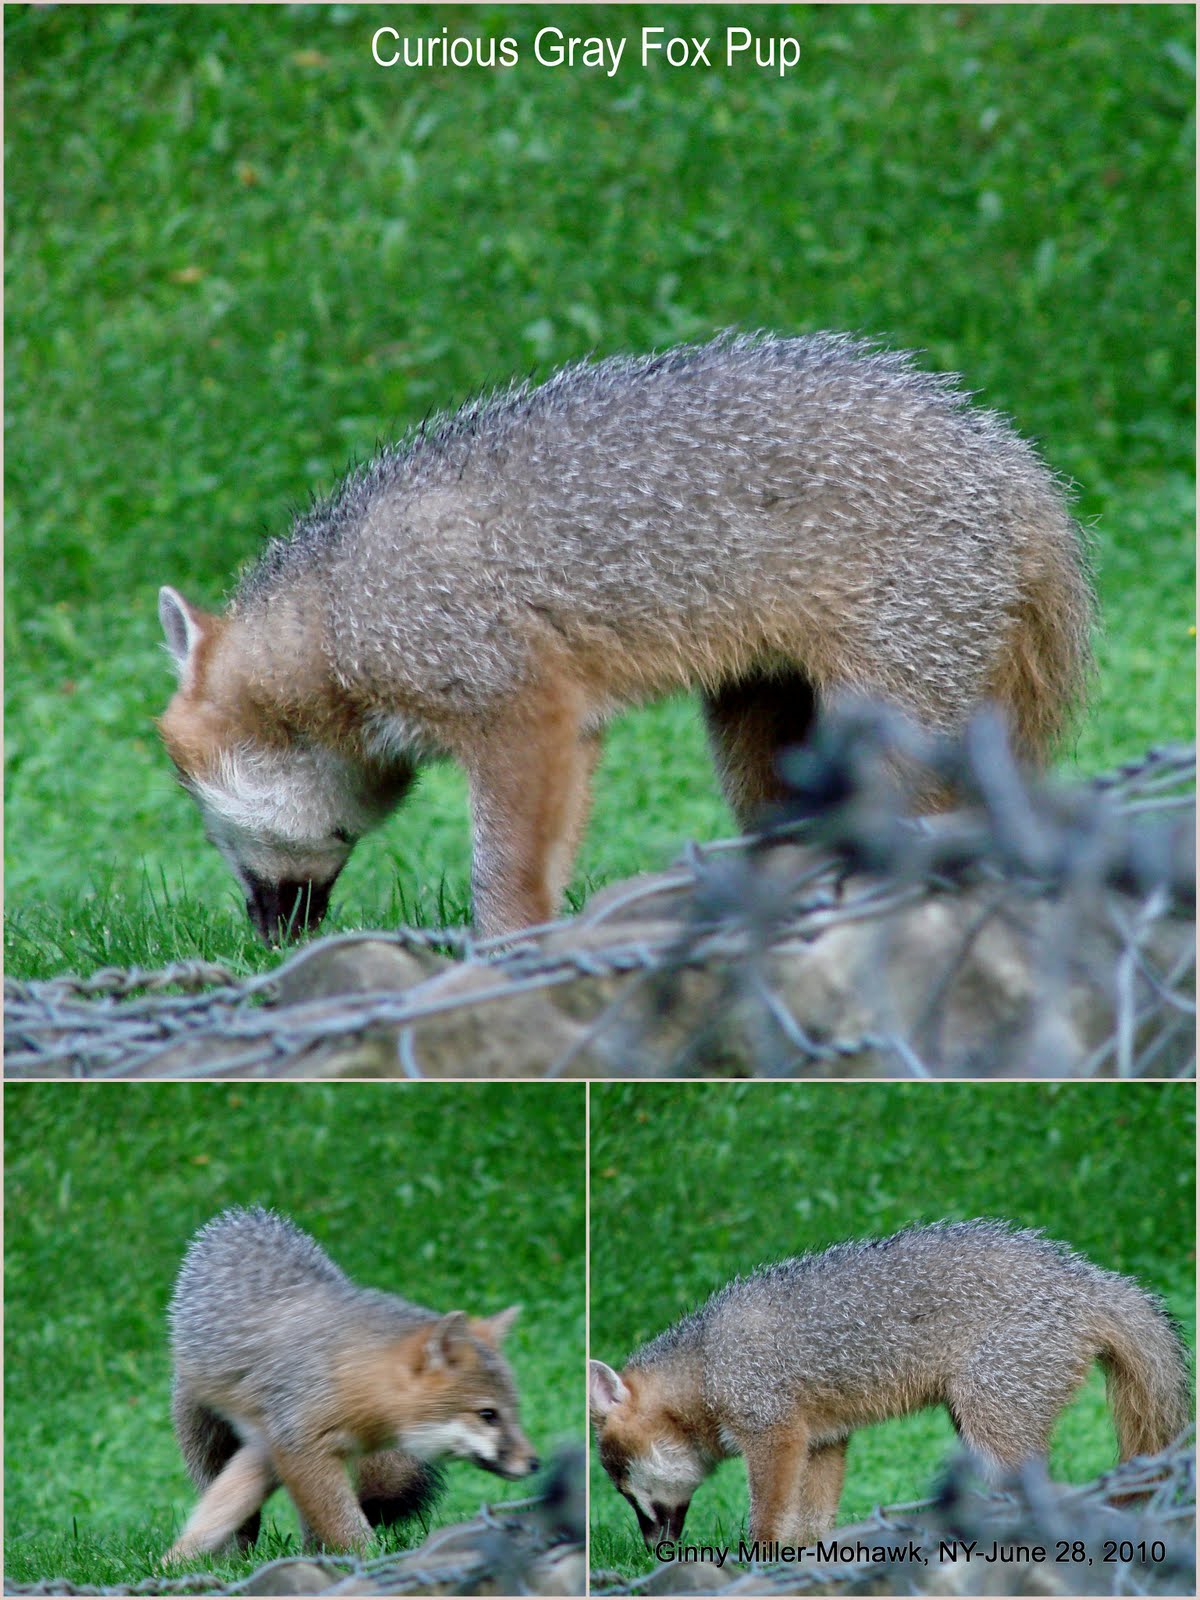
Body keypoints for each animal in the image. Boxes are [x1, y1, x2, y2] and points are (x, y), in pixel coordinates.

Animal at [156, 331, 1093, 941]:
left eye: (208, 827)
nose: (270, 942)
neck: (338, 608)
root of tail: (1008, 454)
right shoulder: (569, 733)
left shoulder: (519, 719)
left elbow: (505, 881)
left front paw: (502, 964)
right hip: (759, 748)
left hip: (879, 740)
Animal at [163, 1206, 538, 1564]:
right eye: (488, 1415)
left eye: (515, 1411)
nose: (535, 1463)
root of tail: (244, 1216)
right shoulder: (296, 1449)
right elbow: (345, 1529)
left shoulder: (271, 1451)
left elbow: (224, 1516)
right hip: (210, 1446)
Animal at [589, 1220, 1191, 1550]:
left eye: (623, 1485)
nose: (652, 1550)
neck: (708, 1358)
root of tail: (1087, 1279)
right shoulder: (823, 1441)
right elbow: (809, 1525)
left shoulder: (774, 1437)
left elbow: (766, 1520)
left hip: (991, 1426)